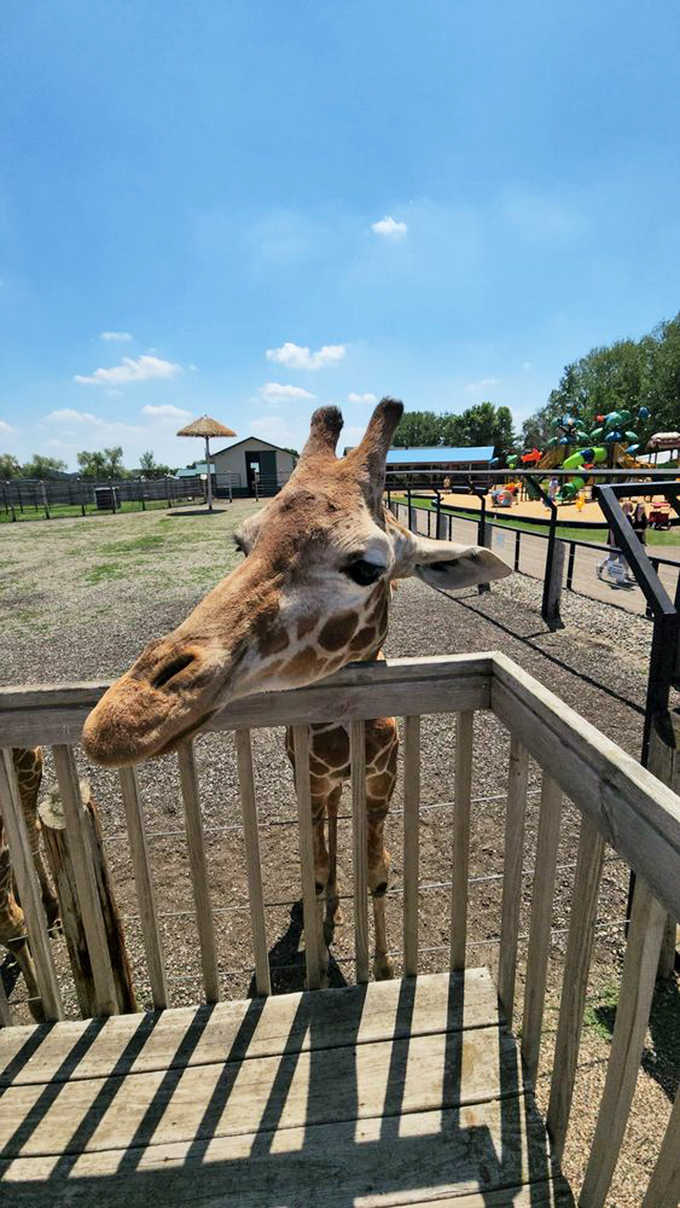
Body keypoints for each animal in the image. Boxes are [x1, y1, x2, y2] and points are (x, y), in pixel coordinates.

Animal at [82, 398, 510, 980]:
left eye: (366, 567)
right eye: (242, 544)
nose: (126, 716)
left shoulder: (382, 781)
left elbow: (378, 872)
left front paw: (382, 967)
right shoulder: (308, 779)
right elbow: (319, 866)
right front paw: (321, 954)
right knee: (326, 835)